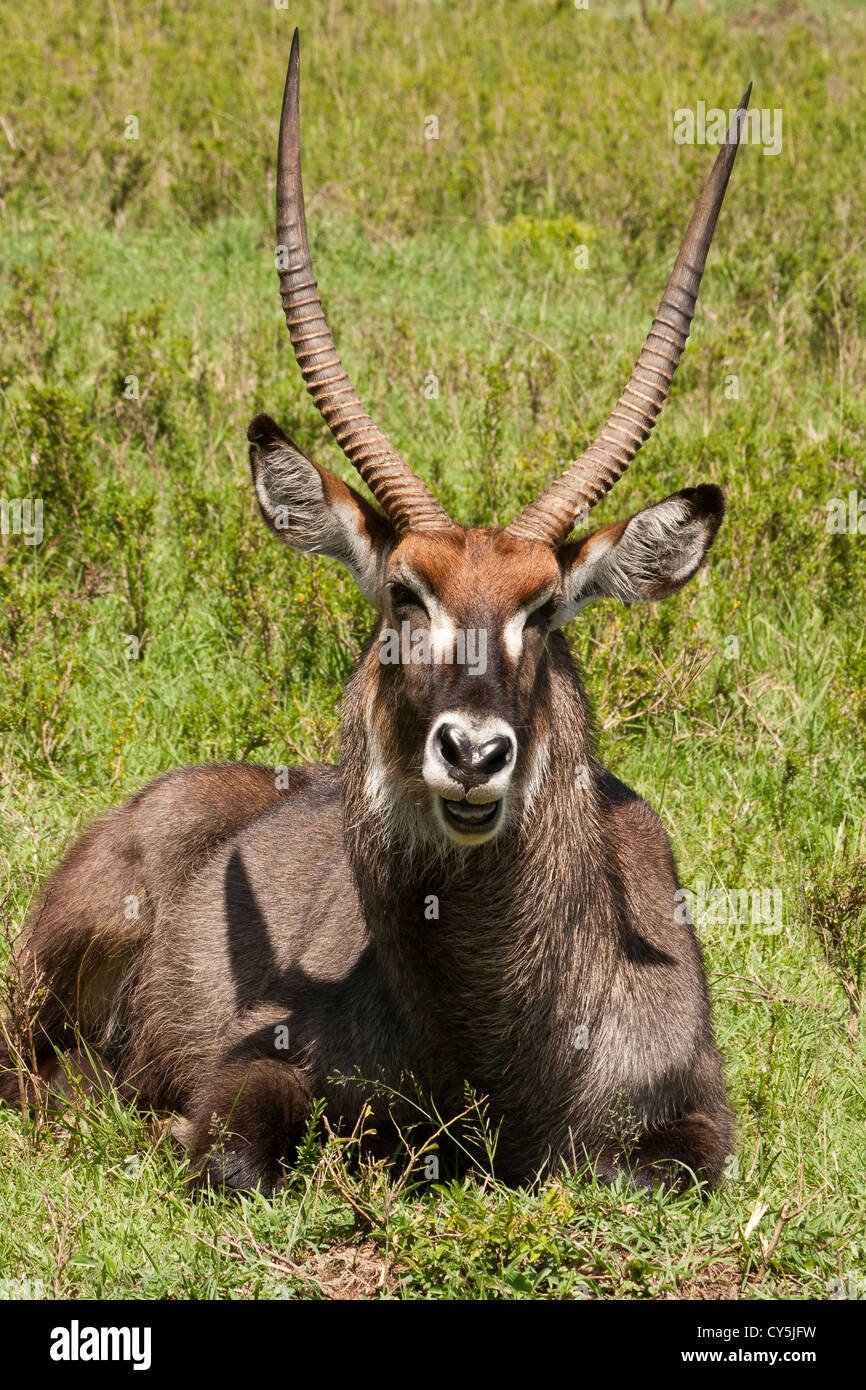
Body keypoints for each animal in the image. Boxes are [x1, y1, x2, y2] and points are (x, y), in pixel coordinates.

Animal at [0, 33, 750, 1194]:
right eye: (406, 589)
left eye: (544, 608)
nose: (473, 753)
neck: (490, 1041)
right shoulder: (252, 1066)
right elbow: (233, 1154)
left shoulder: (700, 1123)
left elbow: (648, 1171)